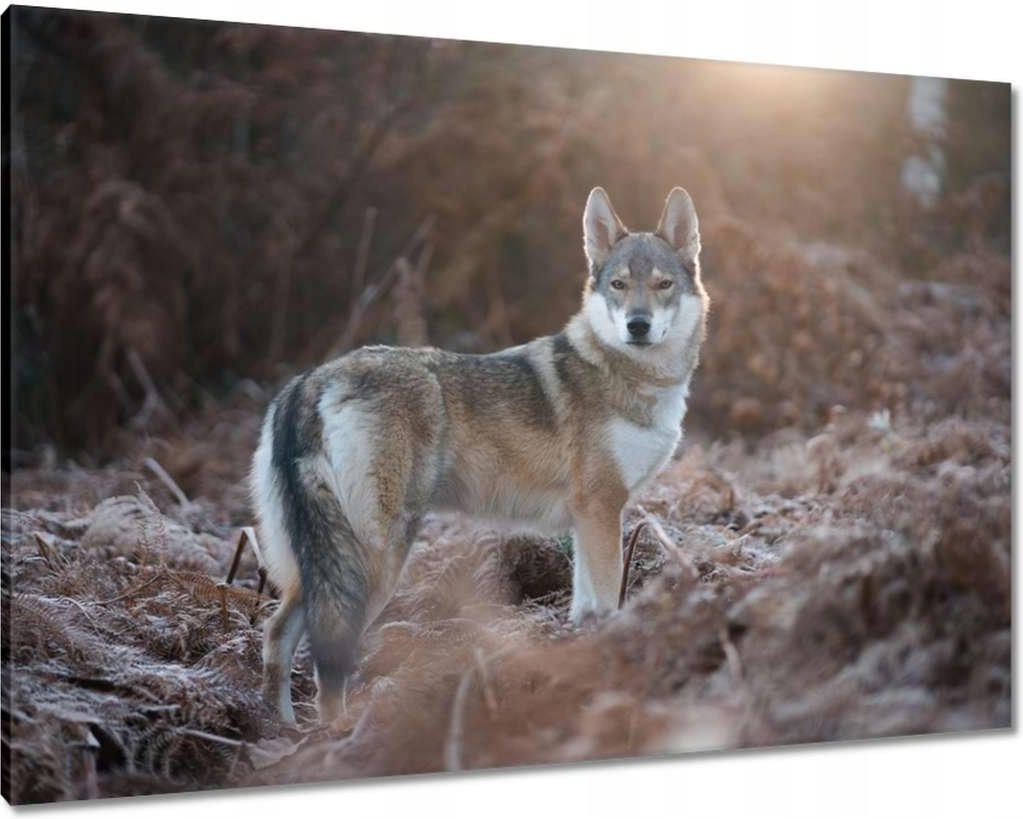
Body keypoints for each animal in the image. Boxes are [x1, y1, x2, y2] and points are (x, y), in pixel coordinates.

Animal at [251, 186, 708, 725]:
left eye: (662, 285)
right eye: (618, 285)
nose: (638, 326)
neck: (632, 377)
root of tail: (311, 379)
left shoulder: (586, 520)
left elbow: (584, 608)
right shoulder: (601, 510)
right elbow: (609, 602)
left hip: (321, 563)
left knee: (276, 635)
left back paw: (280, 732)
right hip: (375, 562)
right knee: (327, 665)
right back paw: (335, 733)